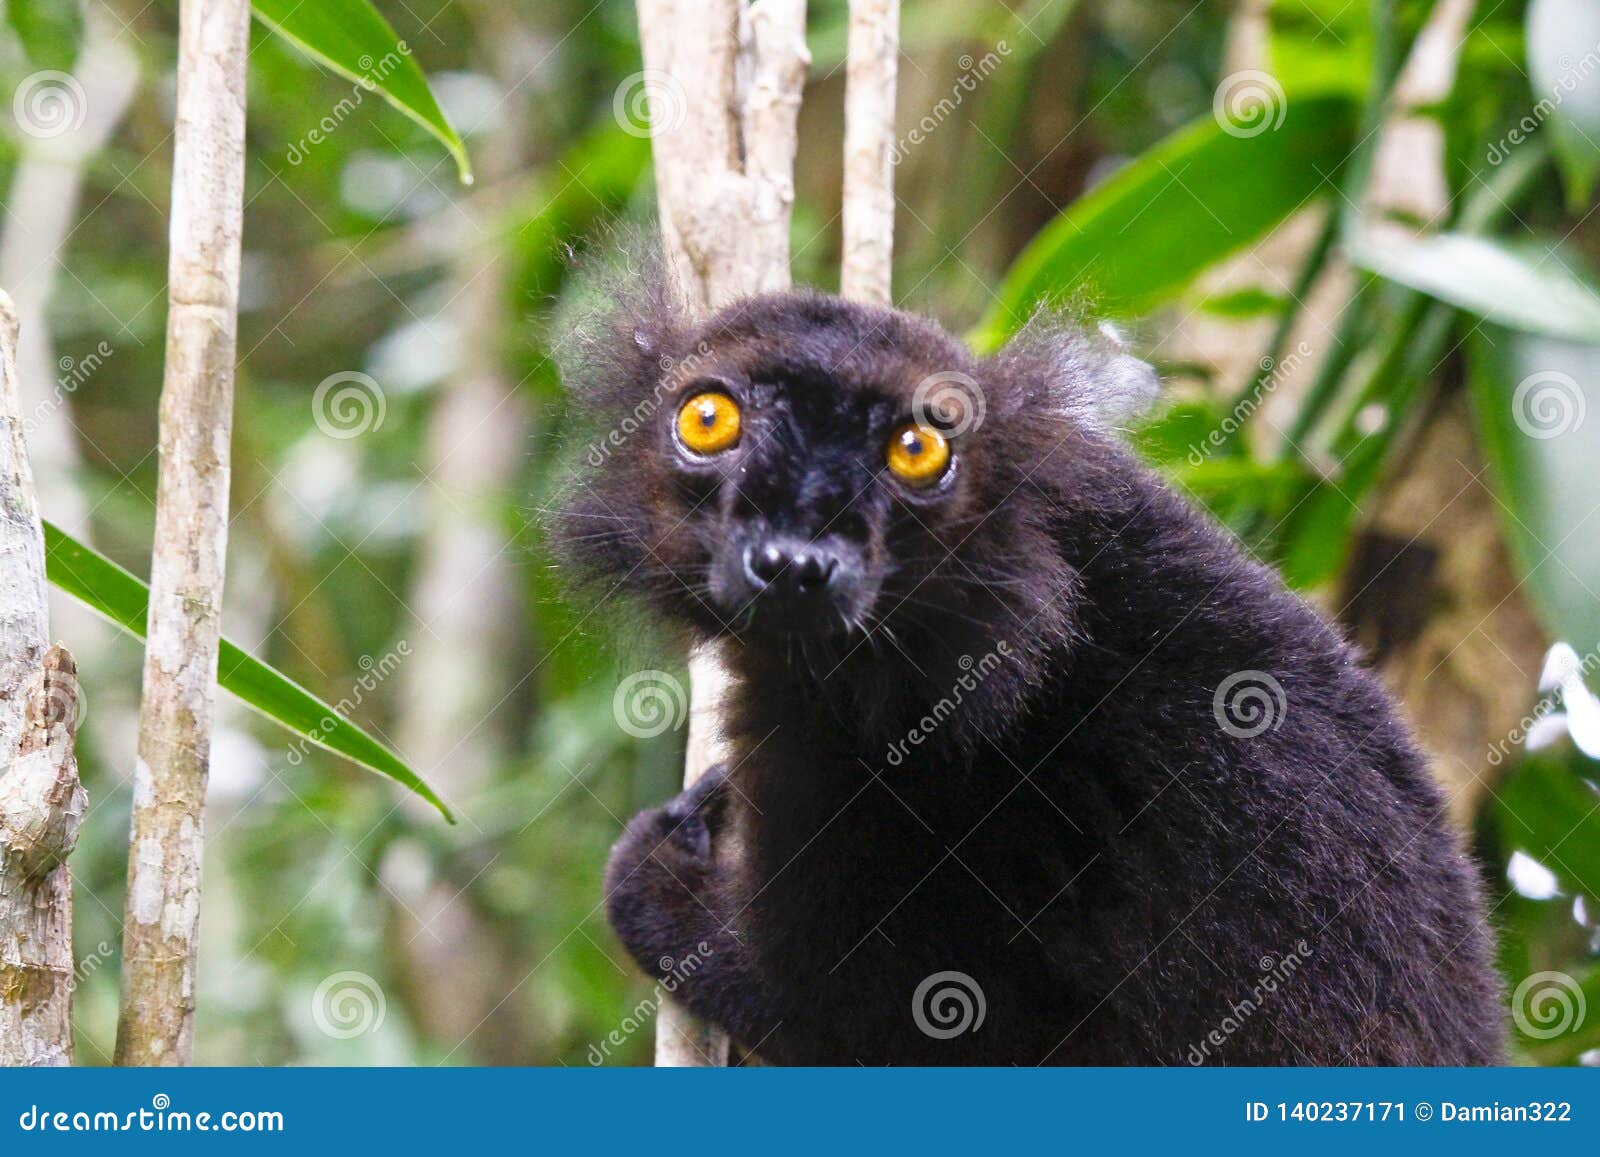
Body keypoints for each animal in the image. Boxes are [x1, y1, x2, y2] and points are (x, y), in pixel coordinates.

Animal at [549, 269, 1506, 1066]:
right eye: (708, 419)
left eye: (918, 449)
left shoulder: (914, 773)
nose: (794, 561)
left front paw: (667, 887)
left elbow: (879, 1020)